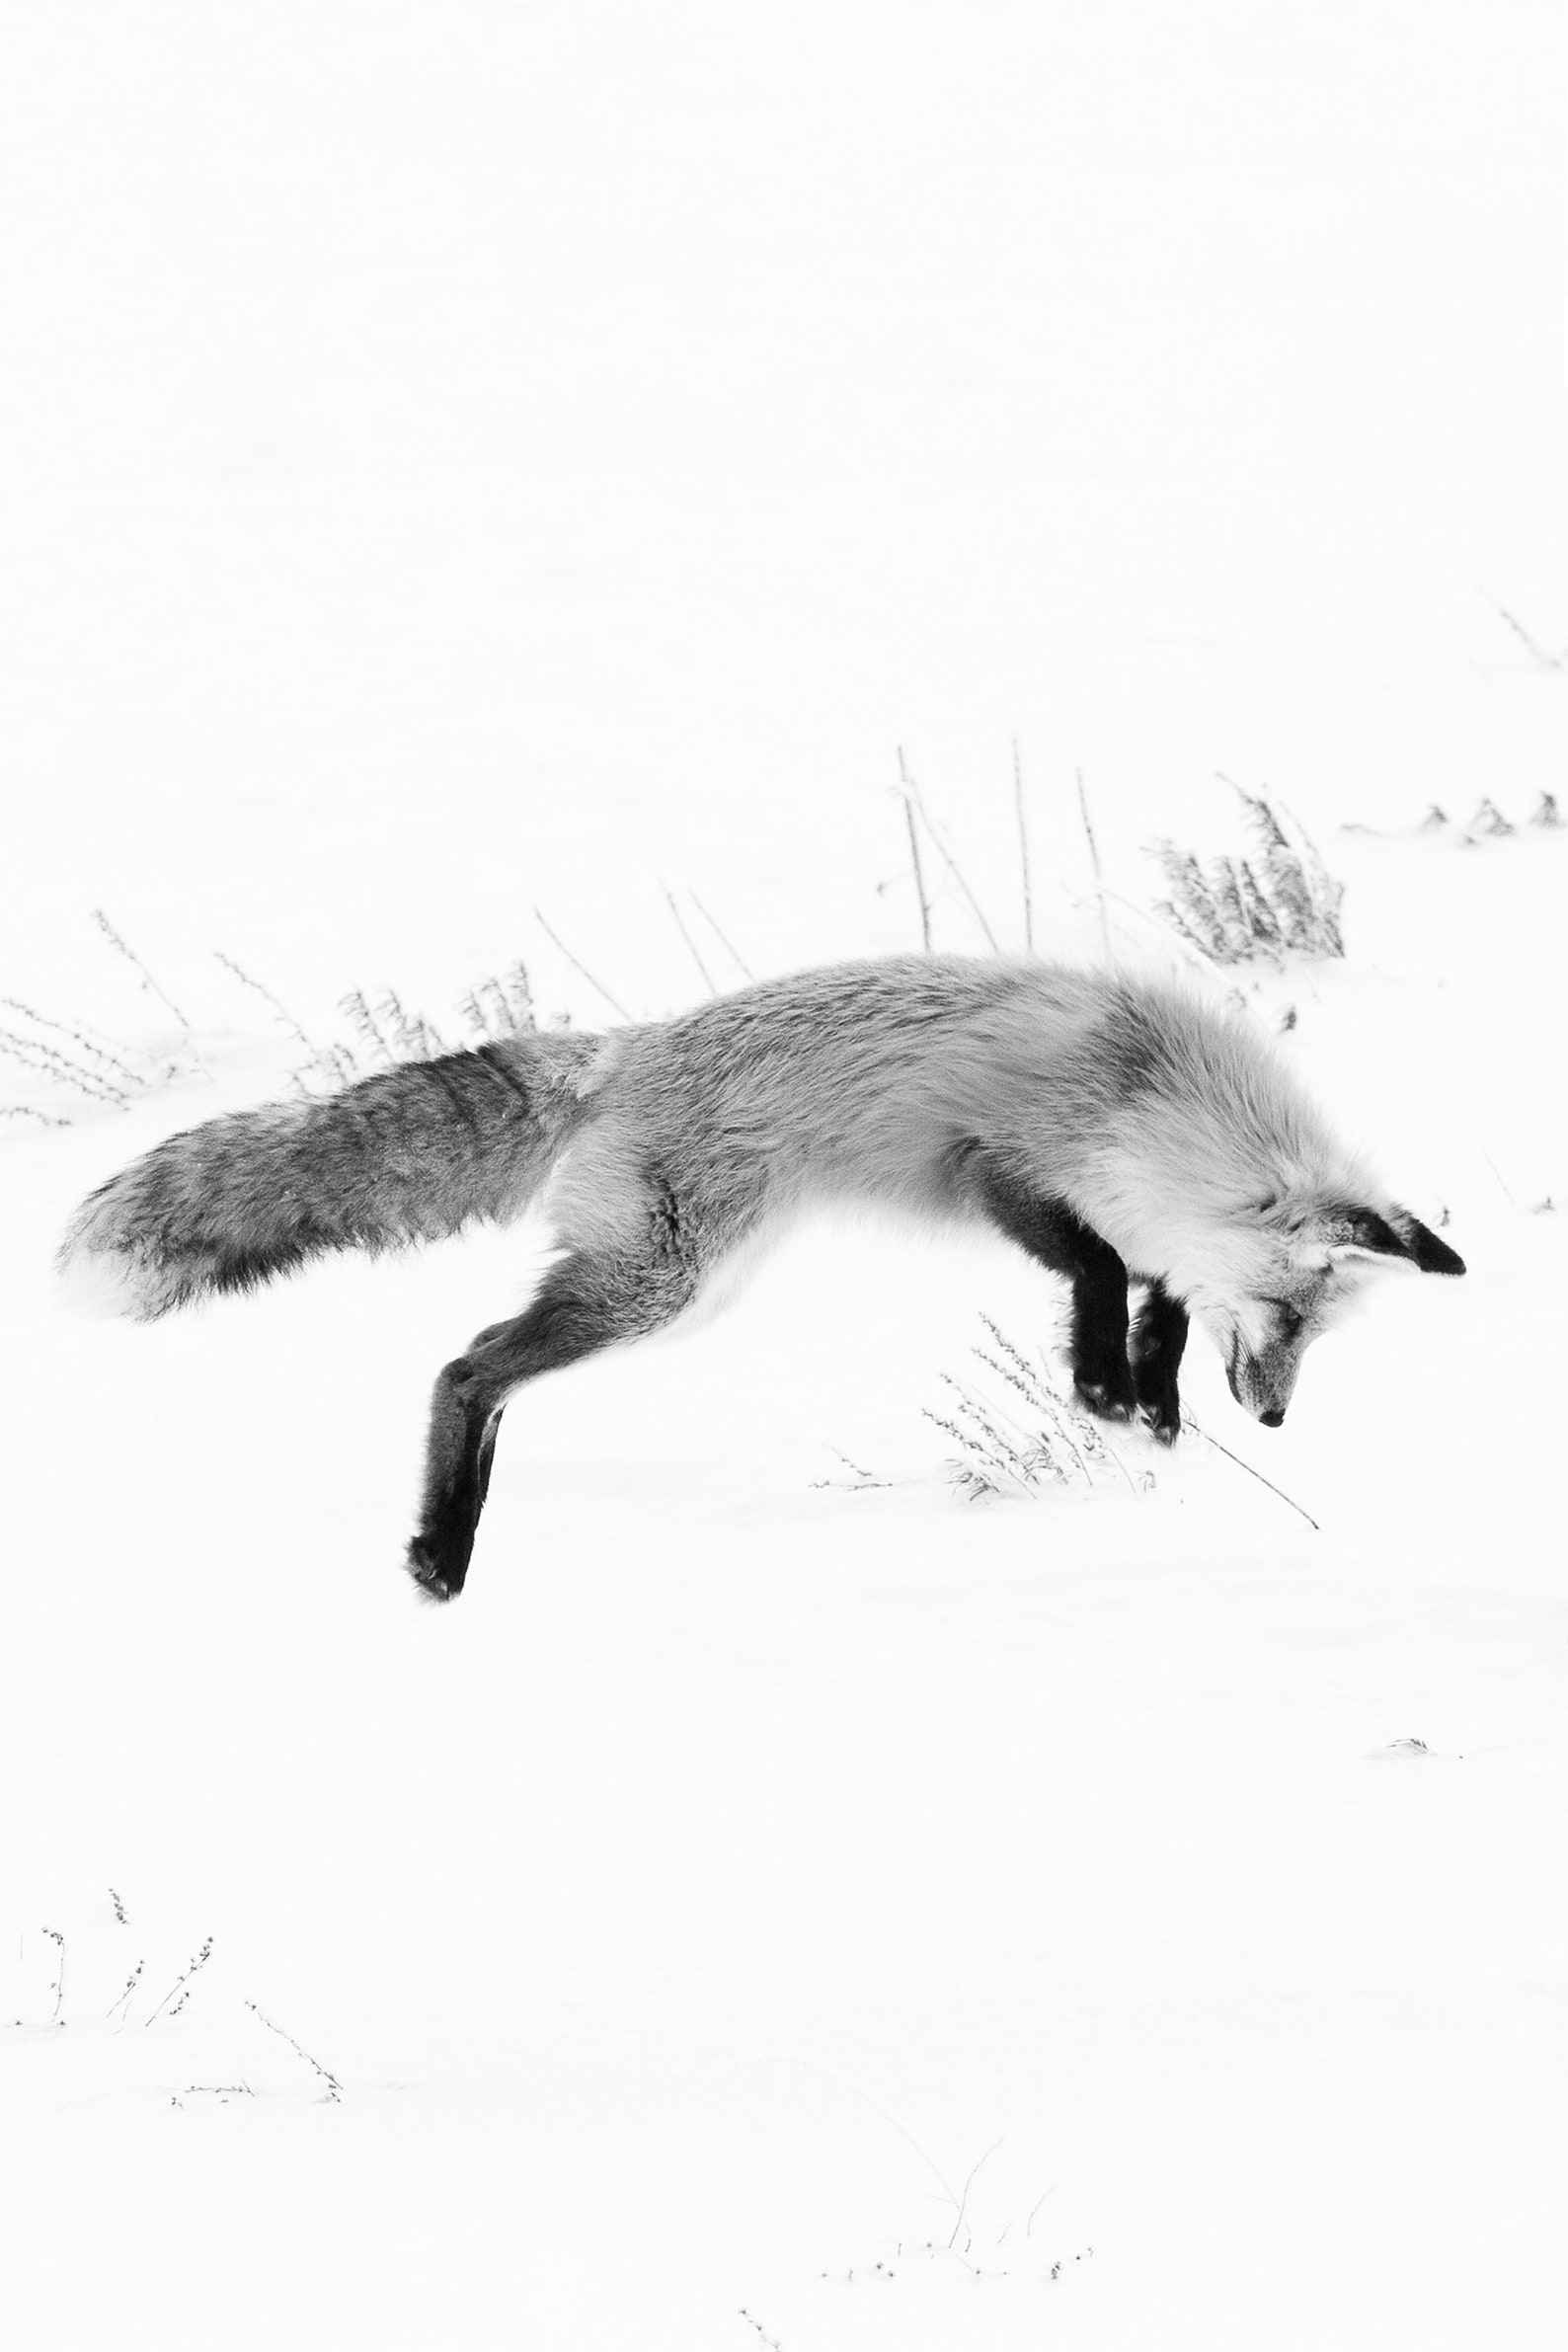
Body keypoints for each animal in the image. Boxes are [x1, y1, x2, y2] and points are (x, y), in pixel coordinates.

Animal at [60, 954, 1464, 1601]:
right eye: (1290, 1315)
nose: (1272, 1418)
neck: (1149, 1095)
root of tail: (624, 1050)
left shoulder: (1137, 1220)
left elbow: (1154, 1306)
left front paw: (1150, 1409)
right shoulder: (1000, 1166)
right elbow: (1099, 1274)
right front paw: (1107, 1395)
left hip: (676, 1292)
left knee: (492, 1376)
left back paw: (452, 1540)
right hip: (664, 1288)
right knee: (464, 1367)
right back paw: (441, 1547)